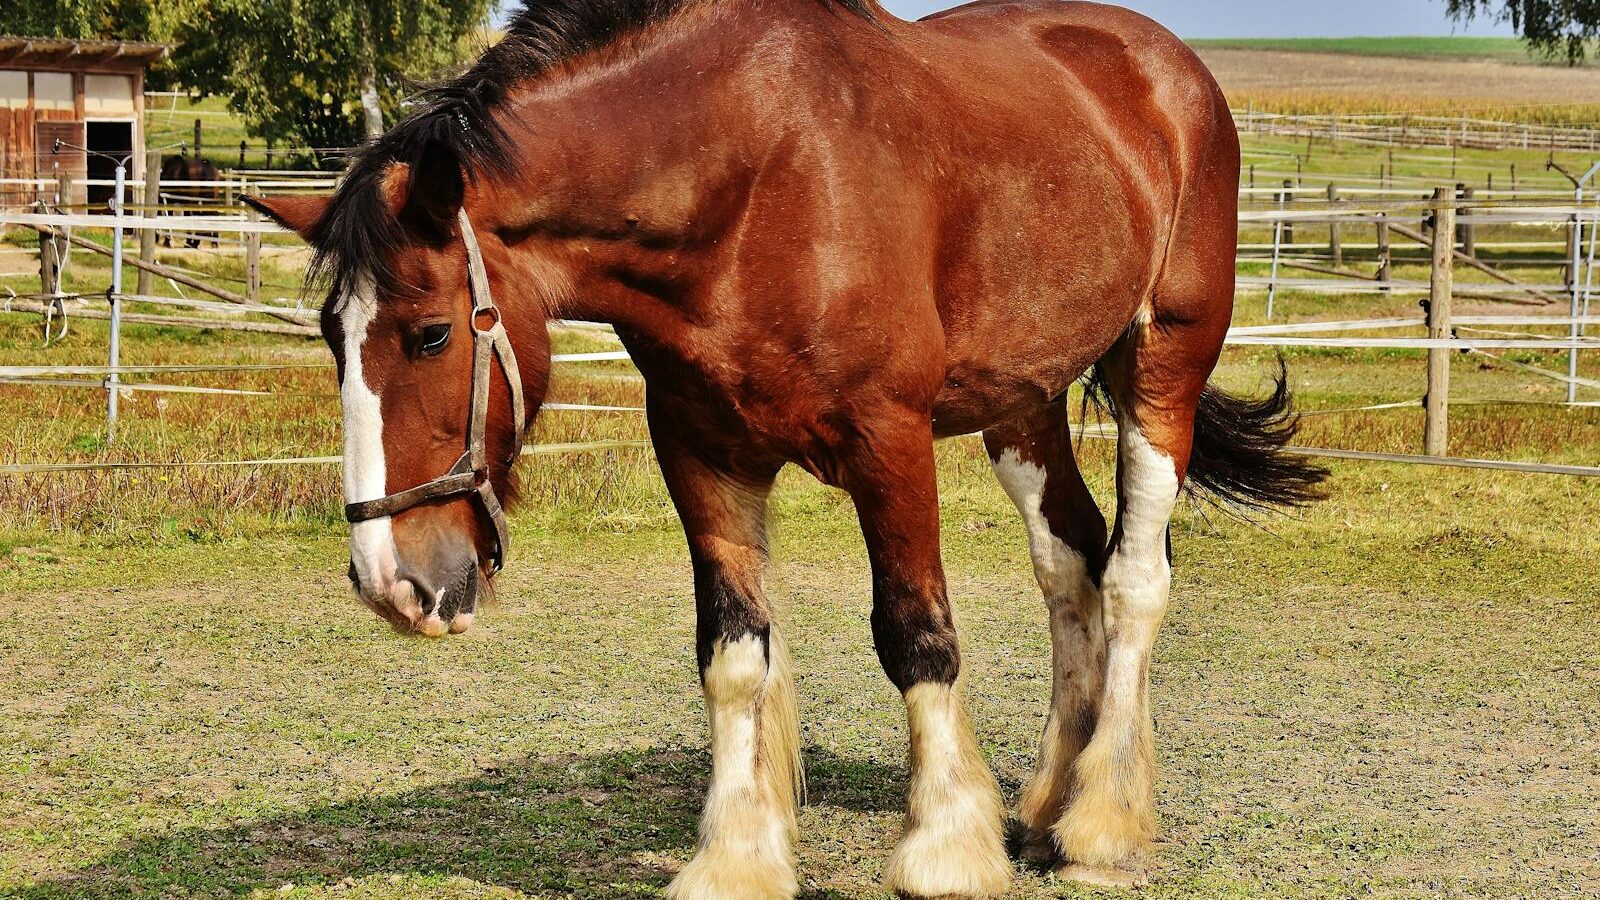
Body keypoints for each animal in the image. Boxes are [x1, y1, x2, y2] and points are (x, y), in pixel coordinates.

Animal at [248, 0, 1327, 894]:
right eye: (333, 337)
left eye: (430, 334)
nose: (389, 582)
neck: (752, 184)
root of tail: (1164, 67)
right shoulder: (702, 453)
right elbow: (733, 653)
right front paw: (735, 857)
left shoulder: (889, 443)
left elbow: (917, 636)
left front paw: (943, 850)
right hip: (1021, 404)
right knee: (1070, 561)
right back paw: (1044, 804)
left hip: (1162, 366)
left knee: (1135, 576)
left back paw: (1100, 822)